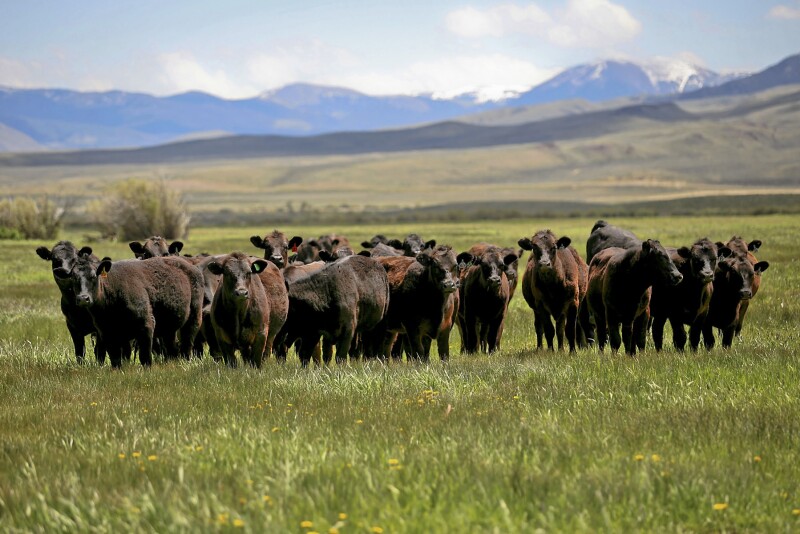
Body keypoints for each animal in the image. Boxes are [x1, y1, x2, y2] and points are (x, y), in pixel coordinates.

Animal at [54, 256, 203, 367]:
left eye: (93, 276)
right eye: (73, 278)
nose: (83, 298)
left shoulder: (146, 324)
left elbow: (145, 357)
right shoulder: (105, 331)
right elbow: (115, 358)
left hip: (194, 318)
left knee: (187, 343)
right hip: (169, 329)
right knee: (172, 348)